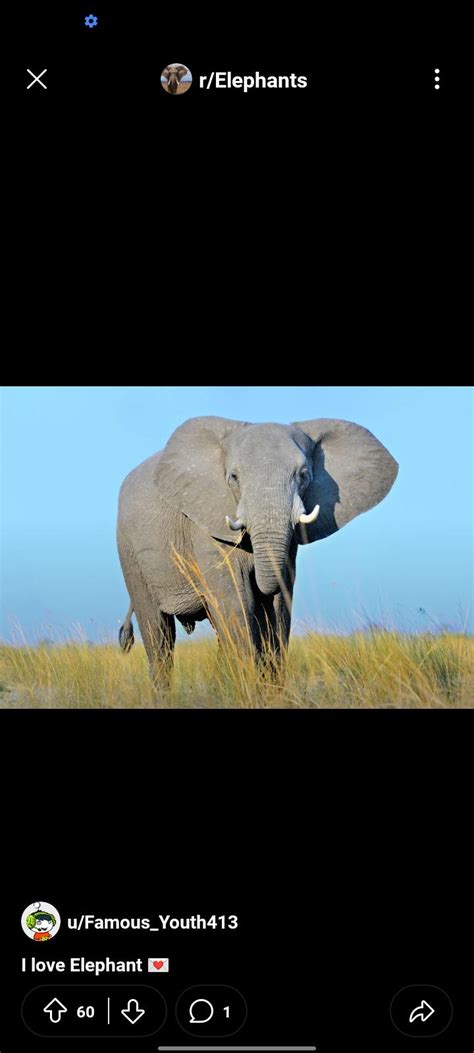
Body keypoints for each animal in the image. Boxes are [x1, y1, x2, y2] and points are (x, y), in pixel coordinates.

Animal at [117, 416, 398, 684]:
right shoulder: (206, 527)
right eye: (234, 477)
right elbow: (238, 602)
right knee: (158, 634)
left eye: (303, 475)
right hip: (129, 551)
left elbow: (279, 607)